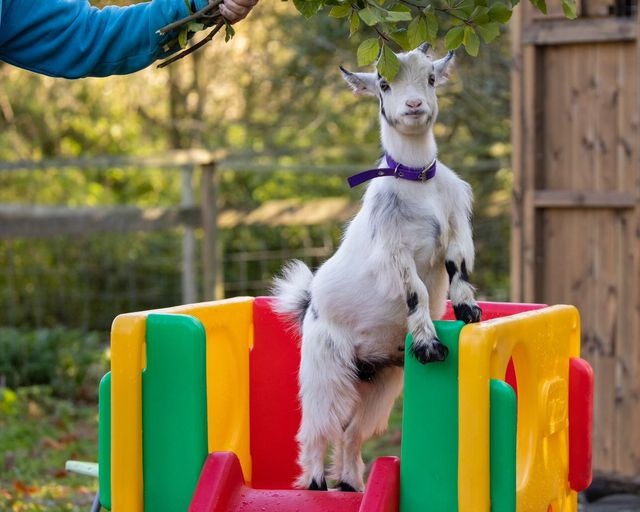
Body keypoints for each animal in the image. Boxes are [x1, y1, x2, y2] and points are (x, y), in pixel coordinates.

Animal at [272, 43, 482, 493]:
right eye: (383, 83)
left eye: (431, 78)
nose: (414, 105)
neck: (418, 181)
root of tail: (308, 306)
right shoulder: (394, 248)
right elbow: (416, 290)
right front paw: (429, 345)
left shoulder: (455, 223)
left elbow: (457, 267)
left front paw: (469, 311)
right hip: (324, 369)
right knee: (316, 430)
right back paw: (316, 484)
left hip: (382, 382)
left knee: (351, 434)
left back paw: (352, 485)